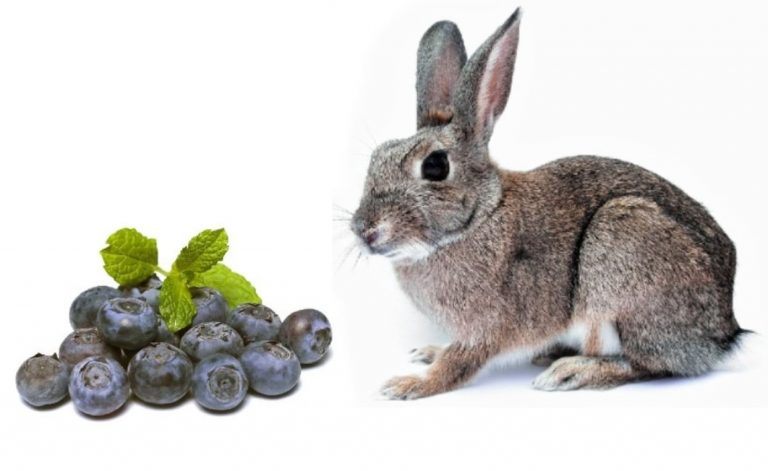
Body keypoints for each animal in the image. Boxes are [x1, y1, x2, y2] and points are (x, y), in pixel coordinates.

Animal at [350, 8, 748, 399]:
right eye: (377, 156)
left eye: (435, 166)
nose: (364, 230)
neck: (479, 218)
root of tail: (723, 335)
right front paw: (428, 353)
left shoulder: (485, 328)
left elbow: (459, 364)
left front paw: (409, 384)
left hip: (623, 253)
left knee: (648, 365)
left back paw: (571, 372)